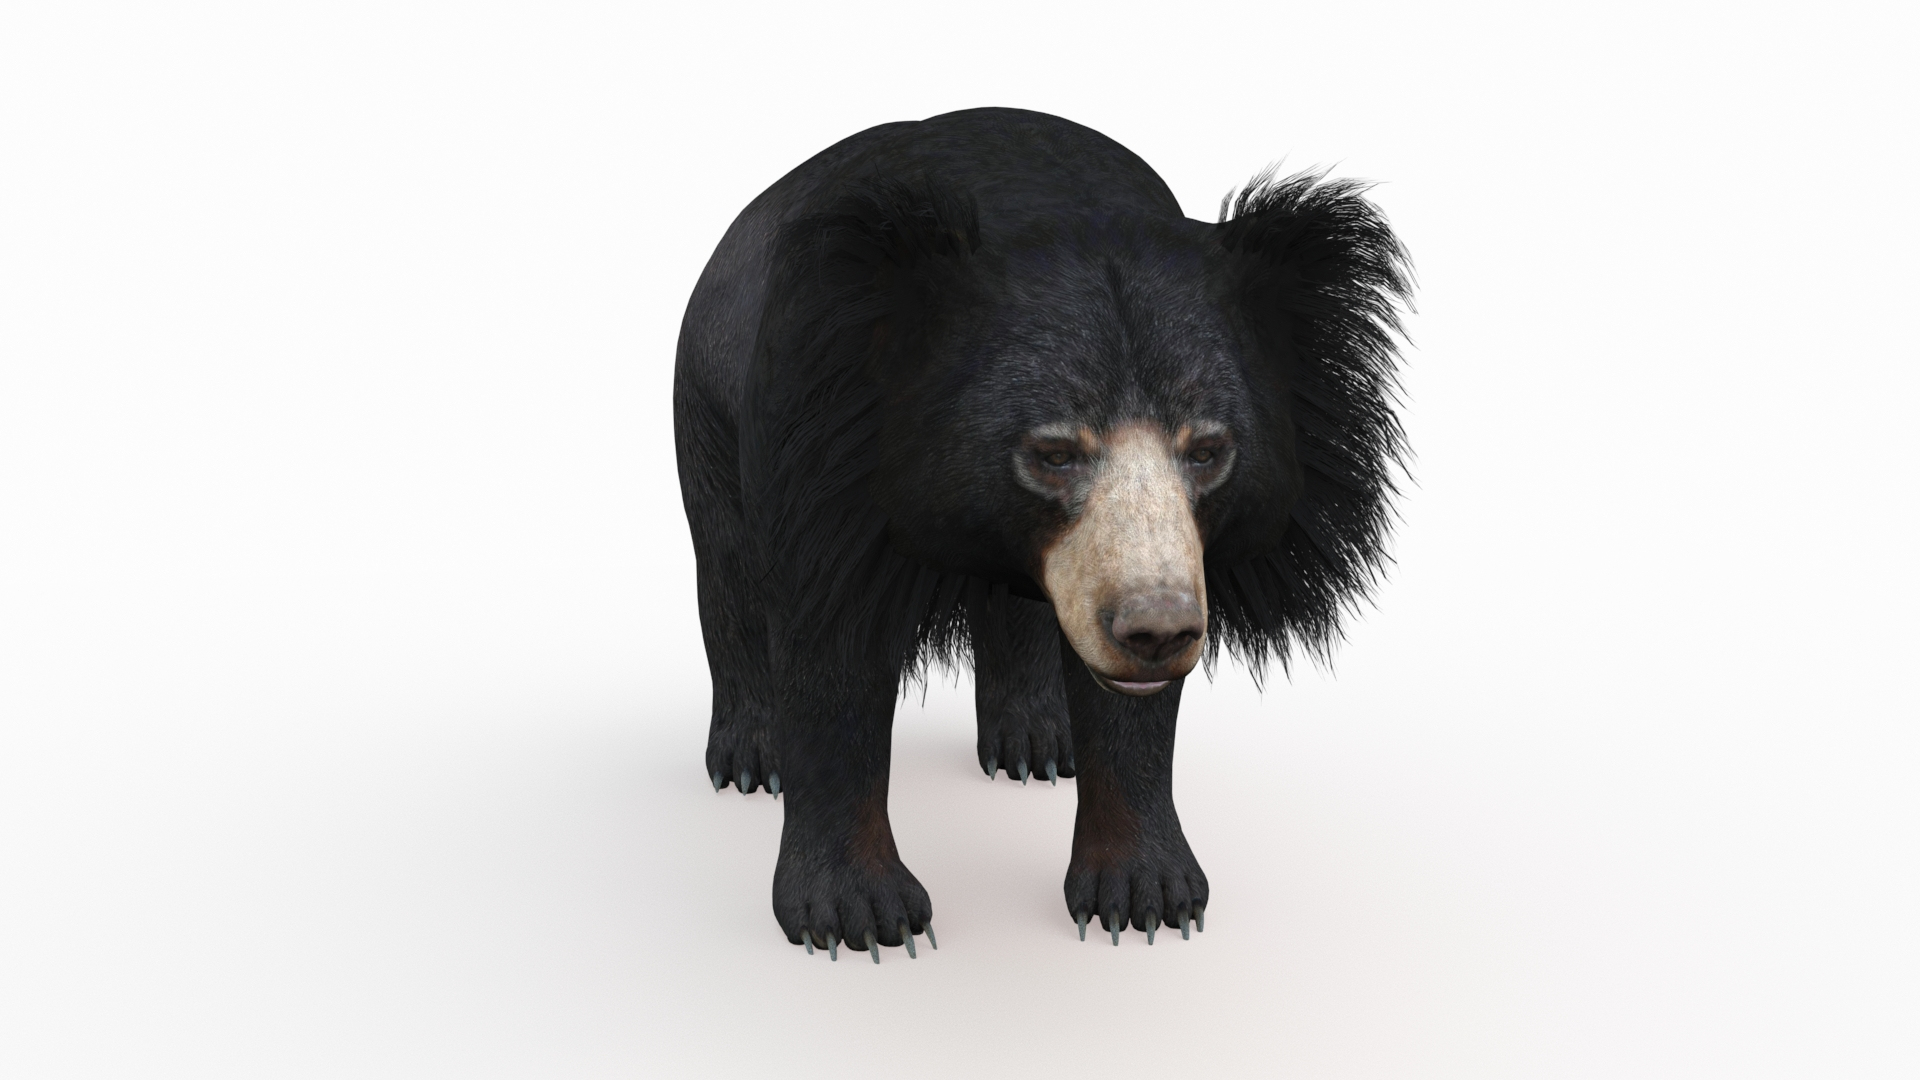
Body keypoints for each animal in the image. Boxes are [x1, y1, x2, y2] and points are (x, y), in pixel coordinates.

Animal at [673, 107, 1411, 961]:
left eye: (1208, 449)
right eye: (1053, 453)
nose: (1157, 630)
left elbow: (1132, 715)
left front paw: (1146, 895)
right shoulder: (824, 447)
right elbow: (831, 652)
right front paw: (861, 915)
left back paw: (1036, 744)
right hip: (707, 401)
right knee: (728, 570)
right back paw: (752, 760)